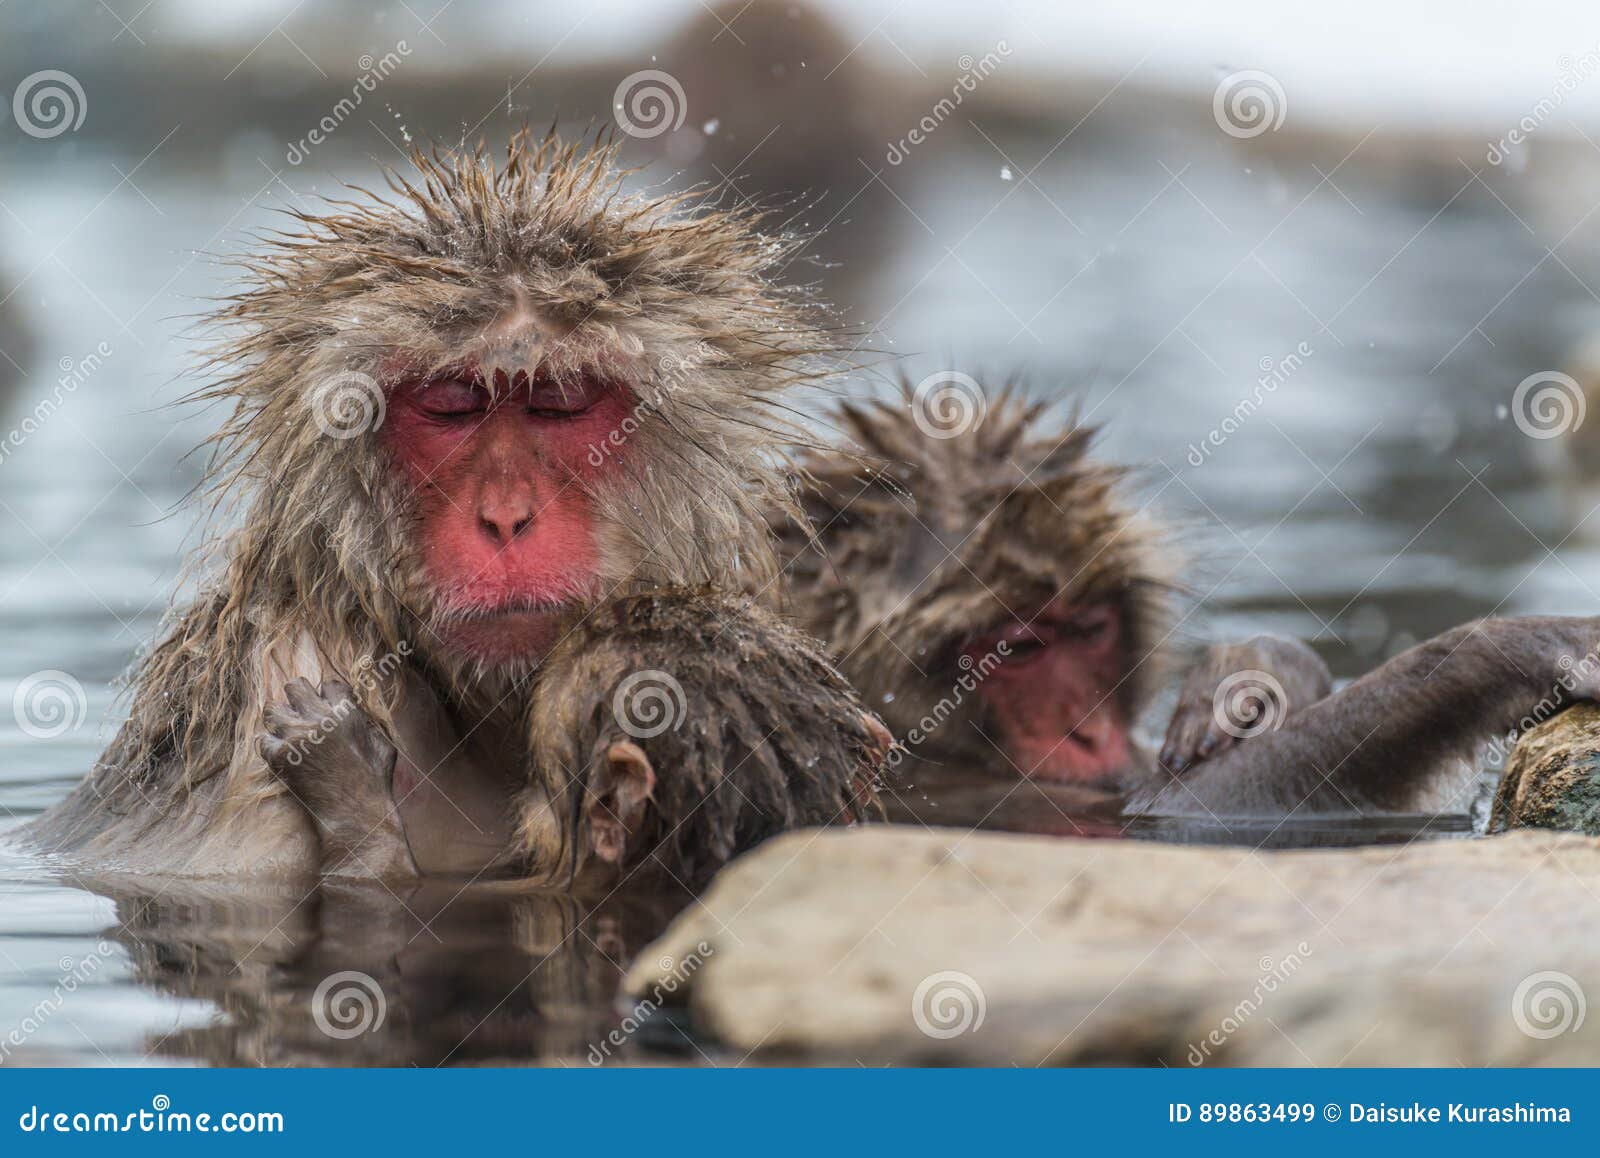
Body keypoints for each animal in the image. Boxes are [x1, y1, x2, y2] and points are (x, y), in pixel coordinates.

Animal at [774, 381, 1600, 822]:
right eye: (1018, 650)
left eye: (1088, 629)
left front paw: (1247, 679)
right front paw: (1510, 651)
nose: (1087, 734)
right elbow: (1189, 810)